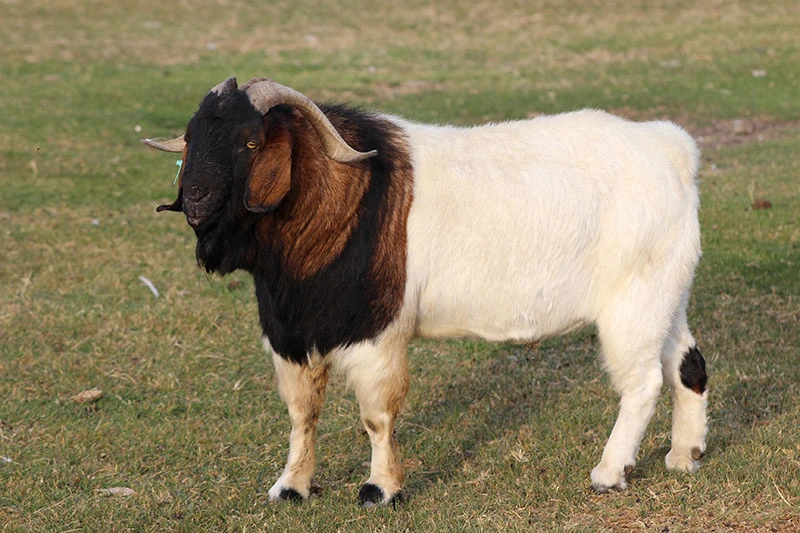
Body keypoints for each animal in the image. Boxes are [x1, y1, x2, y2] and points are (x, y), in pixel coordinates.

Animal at [143, 77, 708, 507]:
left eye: (251, 141)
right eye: (191, 138)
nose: (195, 199)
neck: (345, 201)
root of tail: (671, 149)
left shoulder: (377, 335)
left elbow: (377, 415)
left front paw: (380, 489)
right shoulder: (293, 334)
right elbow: (303, 413)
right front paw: (291, 487)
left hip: (632, 304)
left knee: (641, 384)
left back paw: (609, 473)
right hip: (666, 294)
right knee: (688, 365)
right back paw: (684, 456)